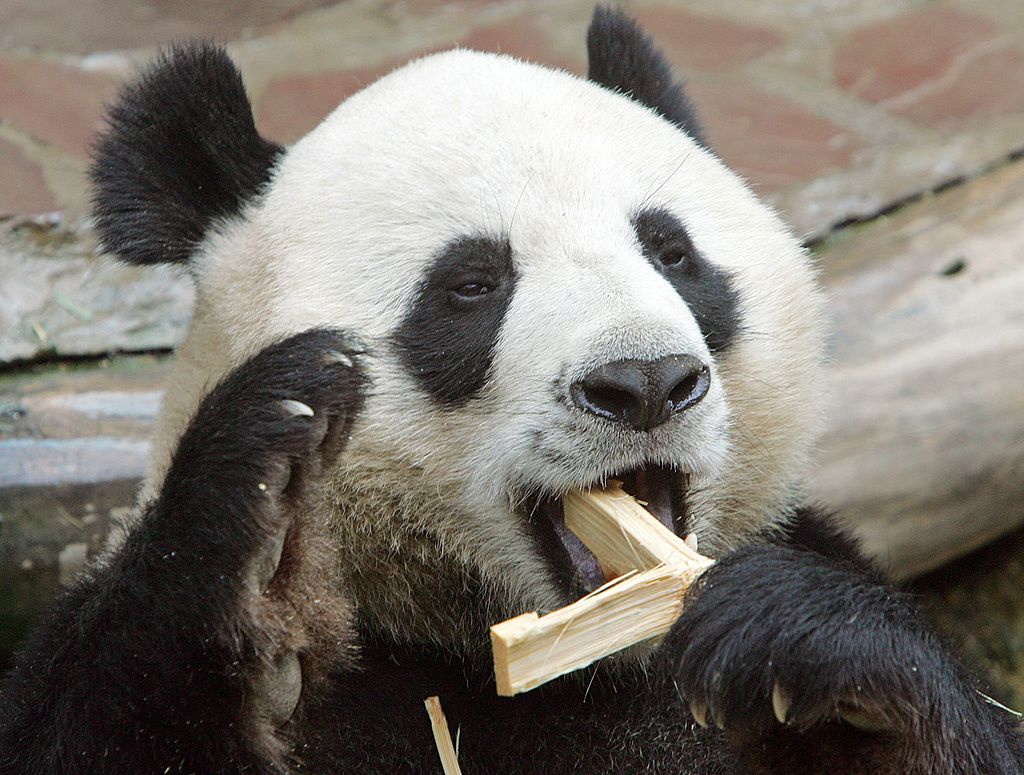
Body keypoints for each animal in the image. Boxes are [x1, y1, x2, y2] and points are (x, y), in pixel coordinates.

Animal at [1, 7, 1022, 774]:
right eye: (471, 285)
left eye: (672, 252)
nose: (646, 382)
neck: (596, 671)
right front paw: (264, 518)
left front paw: (809, 644)